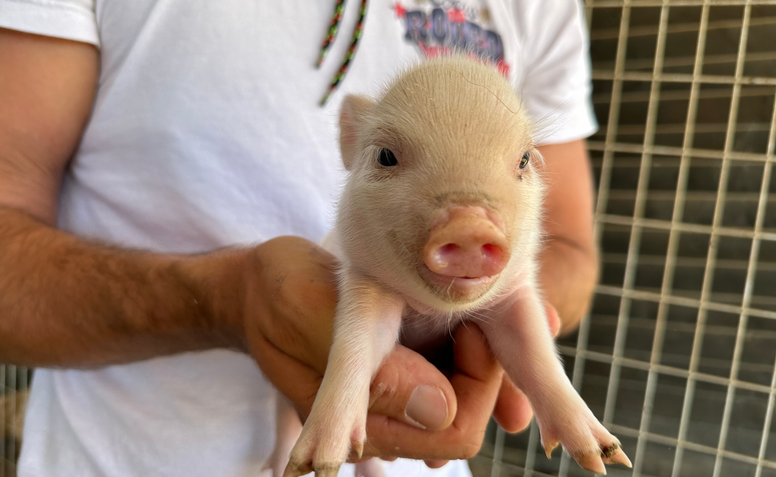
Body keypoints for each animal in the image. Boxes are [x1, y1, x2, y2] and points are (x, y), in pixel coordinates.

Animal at [275, 56, 631, 477]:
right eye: (385, 155)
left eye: (524, 160)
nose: (470, 225)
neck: (437, 313)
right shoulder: (364, 279)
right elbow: (355, 344)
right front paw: (316, 463)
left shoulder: (515, 295)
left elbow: (535, 352)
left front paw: (607, 456)